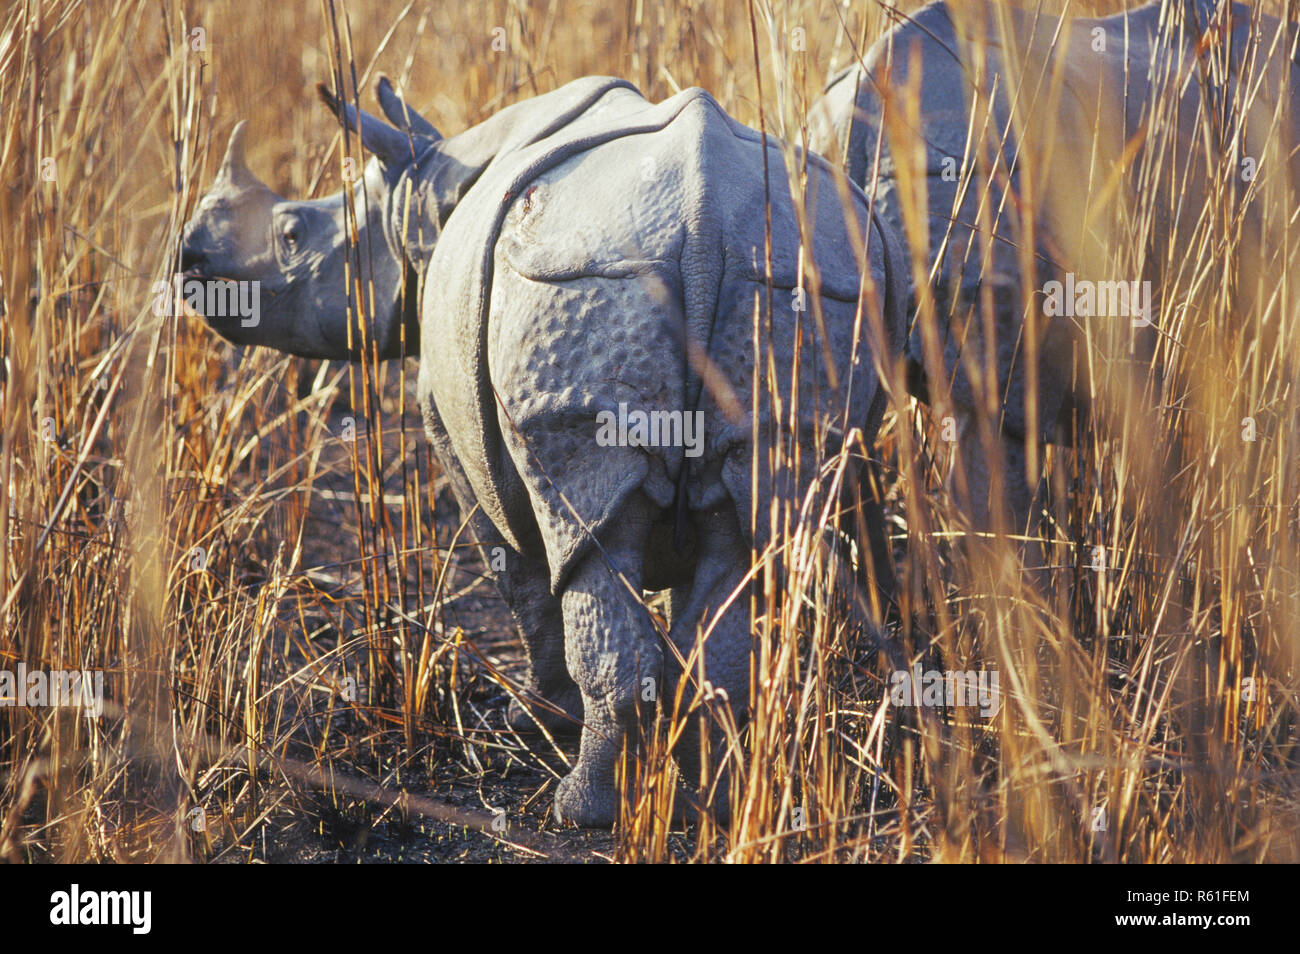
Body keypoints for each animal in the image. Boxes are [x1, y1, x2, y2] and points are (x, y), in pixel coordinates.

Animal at [179, 76, 906, 826]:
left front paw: (535, 719)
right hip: (805, 292)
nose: (191, 265)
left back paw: (582, 810)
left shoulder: (453, 427)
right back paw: (716, 805)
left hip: (578, 280)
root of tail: (705, 222)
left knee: (592, 538)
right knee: (747, 539)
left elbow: (520, 572)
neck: (422, 187)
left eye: (292, 235)